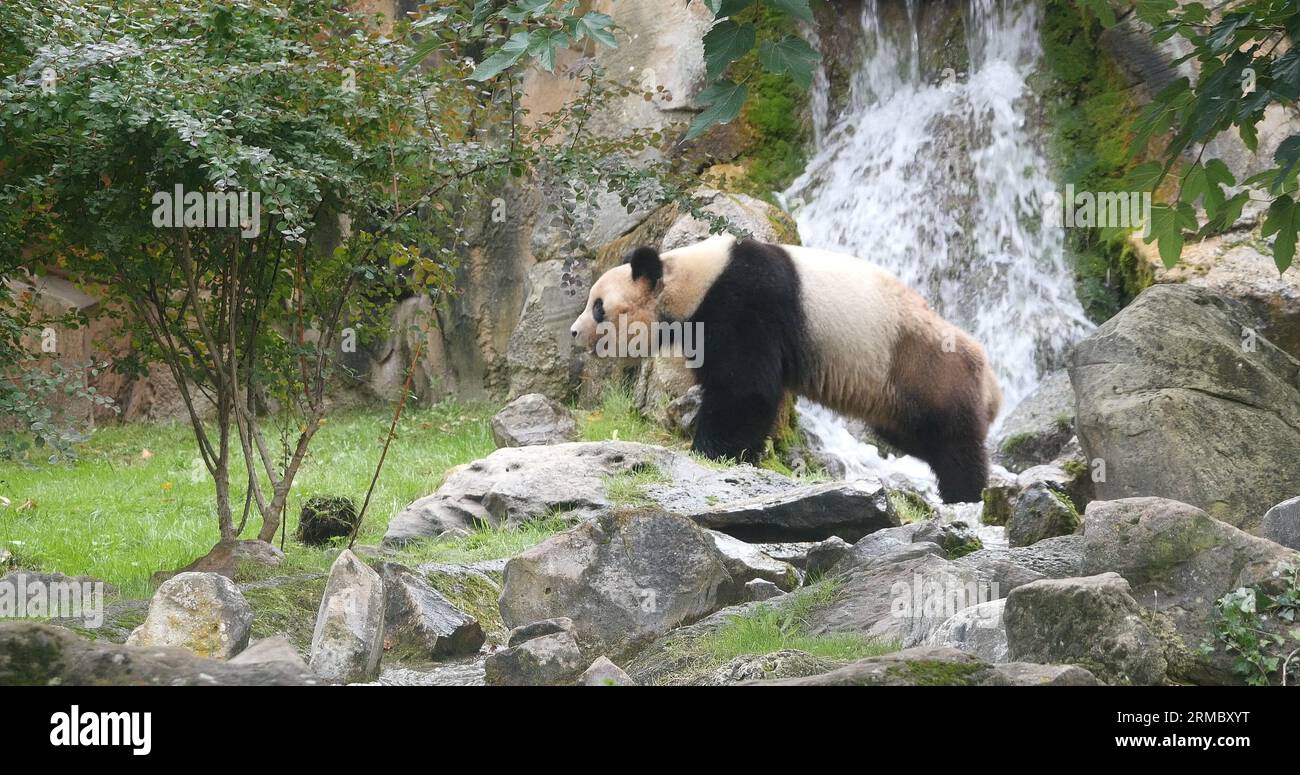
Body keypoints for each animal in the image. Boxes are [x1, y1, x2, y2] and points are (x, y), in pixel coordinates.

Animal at [569, 234, 1002, 503]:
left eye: (599, 307)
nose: (574, 332)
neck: (689, 280)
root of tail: (992, 384)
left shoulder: (746, 302)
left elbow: (745, 389)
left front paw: (712, 451)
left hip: (926, 366)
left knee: (953, 440)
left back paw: (965, 491)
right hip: (895, 392)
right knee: (913, 435)